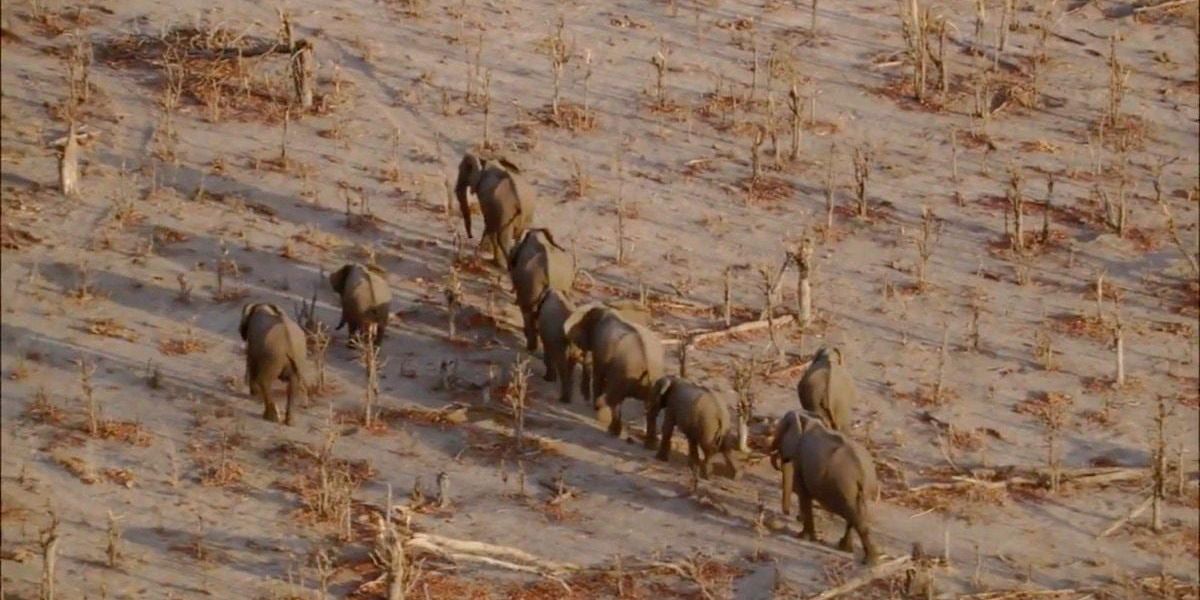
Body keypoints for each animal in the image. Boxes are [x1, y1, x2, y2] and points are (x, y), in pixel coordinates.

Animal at [563, 303, 664, 446]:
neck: (606, 310)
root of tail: (647, 363)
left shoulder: (600, 351)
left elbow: (598, 376)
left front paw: (596, 408)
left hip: (623, 373)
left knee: (615, 400)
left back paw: (611, 429)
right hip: (655, 380)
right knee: (651, 410)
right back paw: (651, 445)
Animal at [769, 410, 880, 564]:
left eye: (779, 431)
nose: (789, 514)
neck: (808, 419)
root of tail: (863, 472)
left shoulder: (800, 458)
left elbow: (803, 493)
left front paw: (803, 537)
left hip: (845, 485)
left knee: (855, 516)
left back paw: (869, 560)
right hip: (859, 490)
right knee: (857, 513)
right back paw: (846, 549)